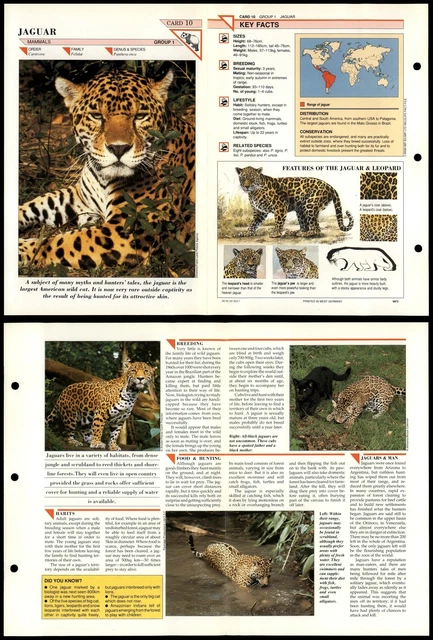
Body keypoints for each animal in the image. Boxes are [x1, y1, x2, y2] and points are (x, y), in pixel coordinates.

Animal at [19, 67, 195, 274]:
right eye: (96, 116)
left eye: (140, 116)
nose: (118, 148)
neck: (103, 178)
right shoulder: (80, 197)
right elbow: (38, 203)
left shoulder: (124, 230)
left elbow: (57, 242)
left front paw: (20, 248)